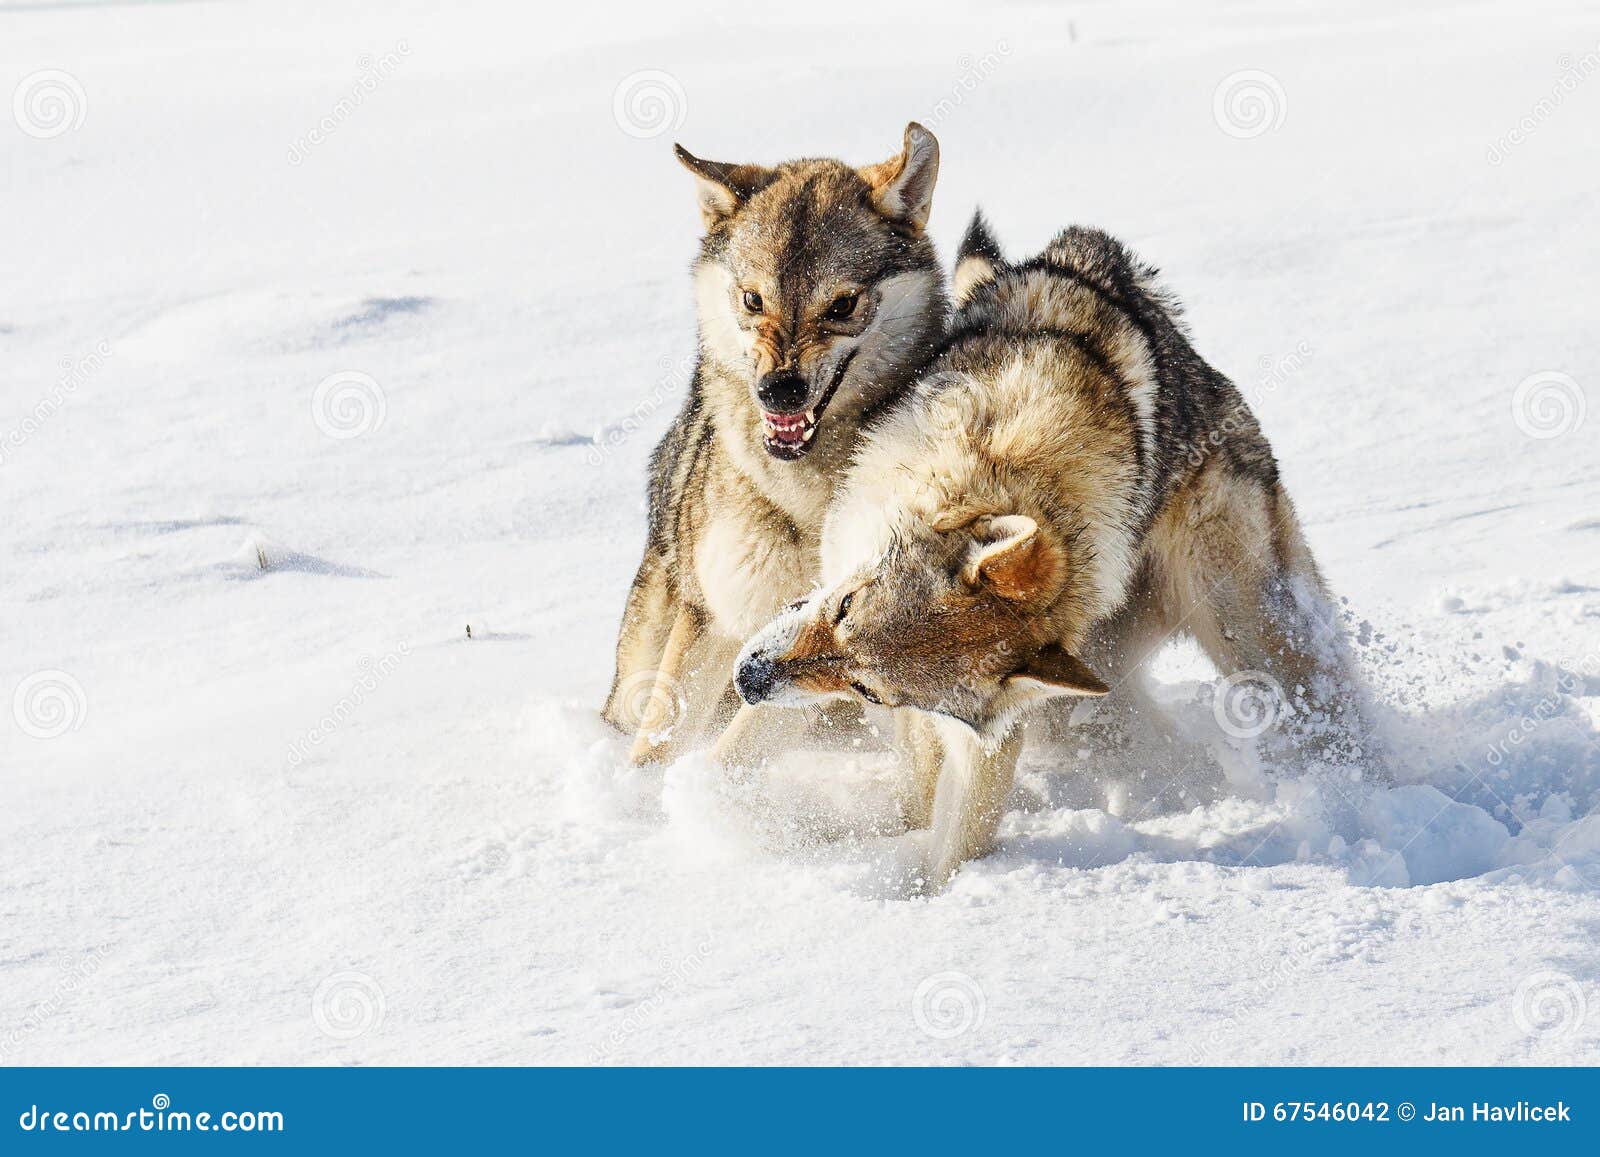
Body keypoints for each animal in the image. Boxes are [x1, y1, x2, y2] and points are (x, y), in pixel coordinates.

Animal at [603, 125, 949, 765]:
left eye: (841, 305)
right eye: (752, 299)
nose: (779, 390)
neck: (805, 499)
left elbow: (739, 742)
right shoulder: (713, 617)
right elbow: (663, 738)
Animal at [733, 216, 1364, 889]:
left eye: (869, 688)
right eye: (846, 604)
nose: (749, 679)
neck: (1014, 463)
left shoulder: (984, 734)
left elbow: (956, 834)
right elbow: (912, 788)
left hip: (1250, 635)